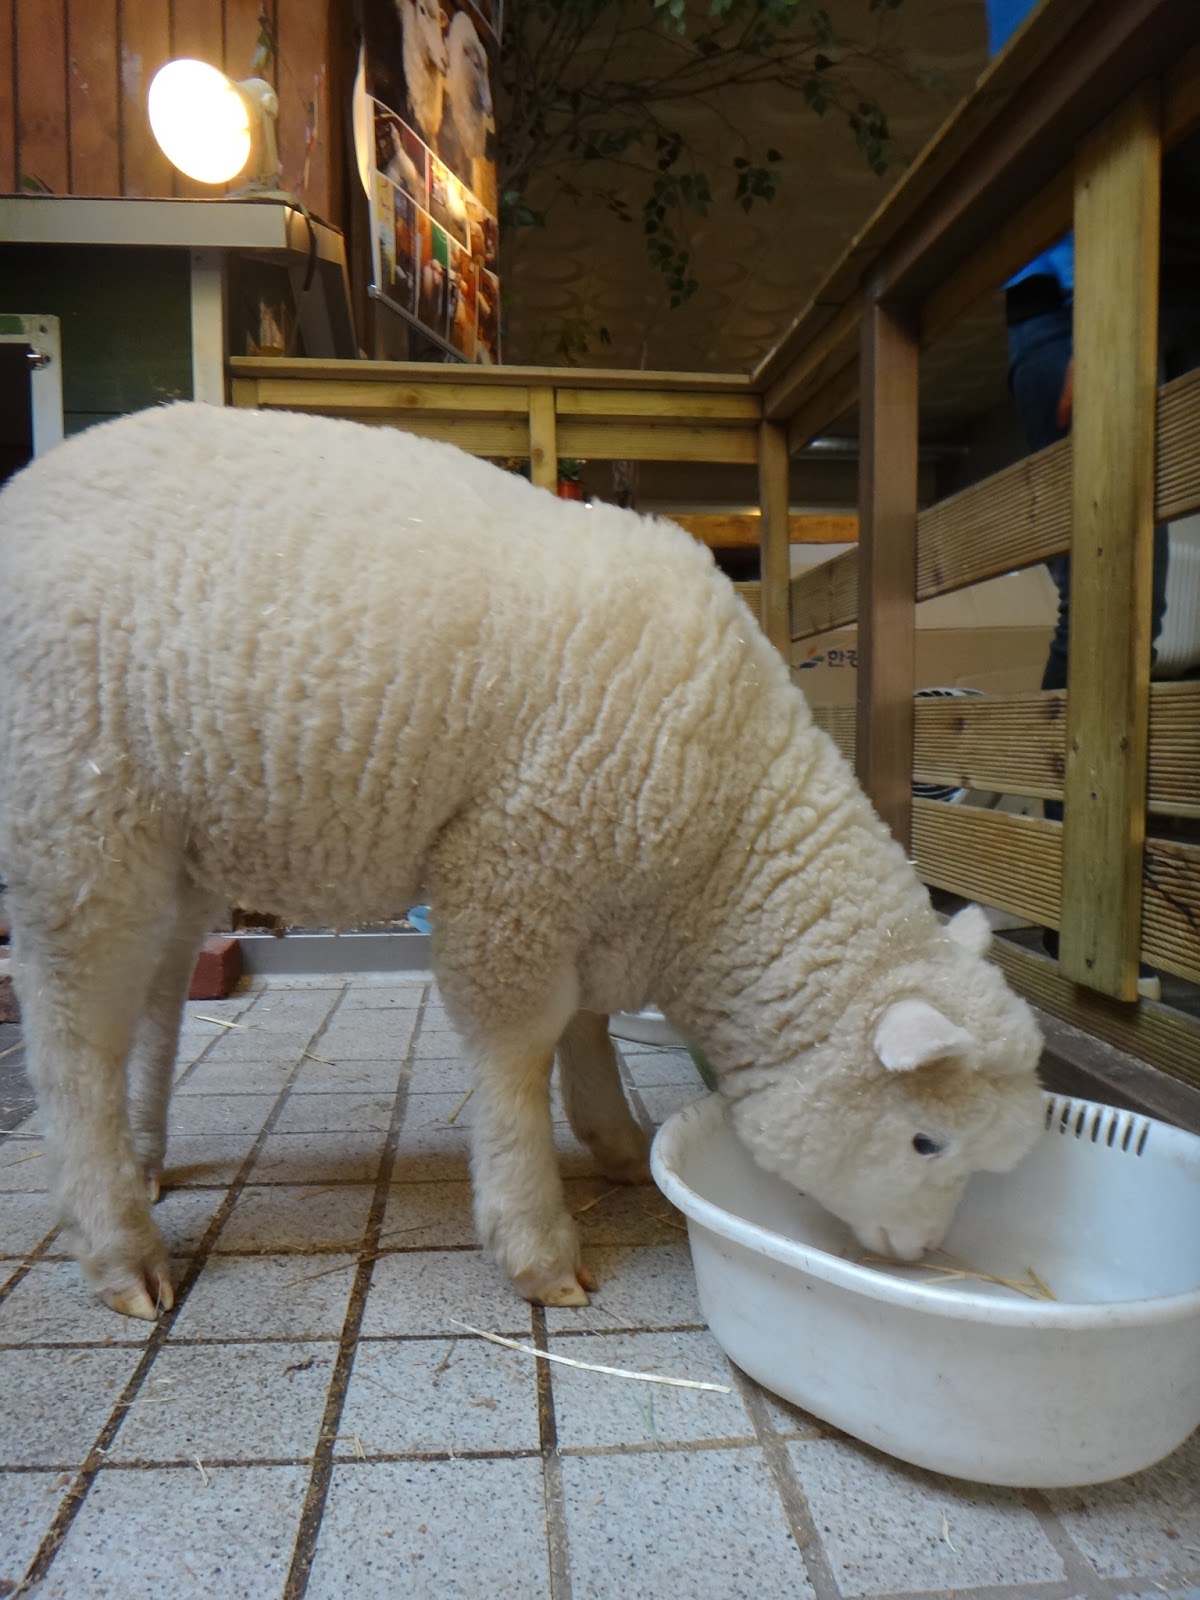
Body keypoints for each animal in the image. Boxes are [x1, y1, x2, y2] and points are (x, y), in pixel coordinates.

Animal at [0, 402, 1044, 1322]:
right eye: (926, 1140)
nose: (919, 1254)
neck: (725, 845)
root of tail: (31, 481)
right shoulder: (517, 866)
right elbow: (519, 1050)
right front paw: (535, 1238)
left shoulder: (587, 881)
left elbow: (588, 1024)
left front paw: (616, 1140)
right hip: (77, 809)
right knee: (73, 1031)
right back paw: (119, 1247)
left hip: (170, 842)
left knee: (156, 997)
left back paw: (144, 1157)